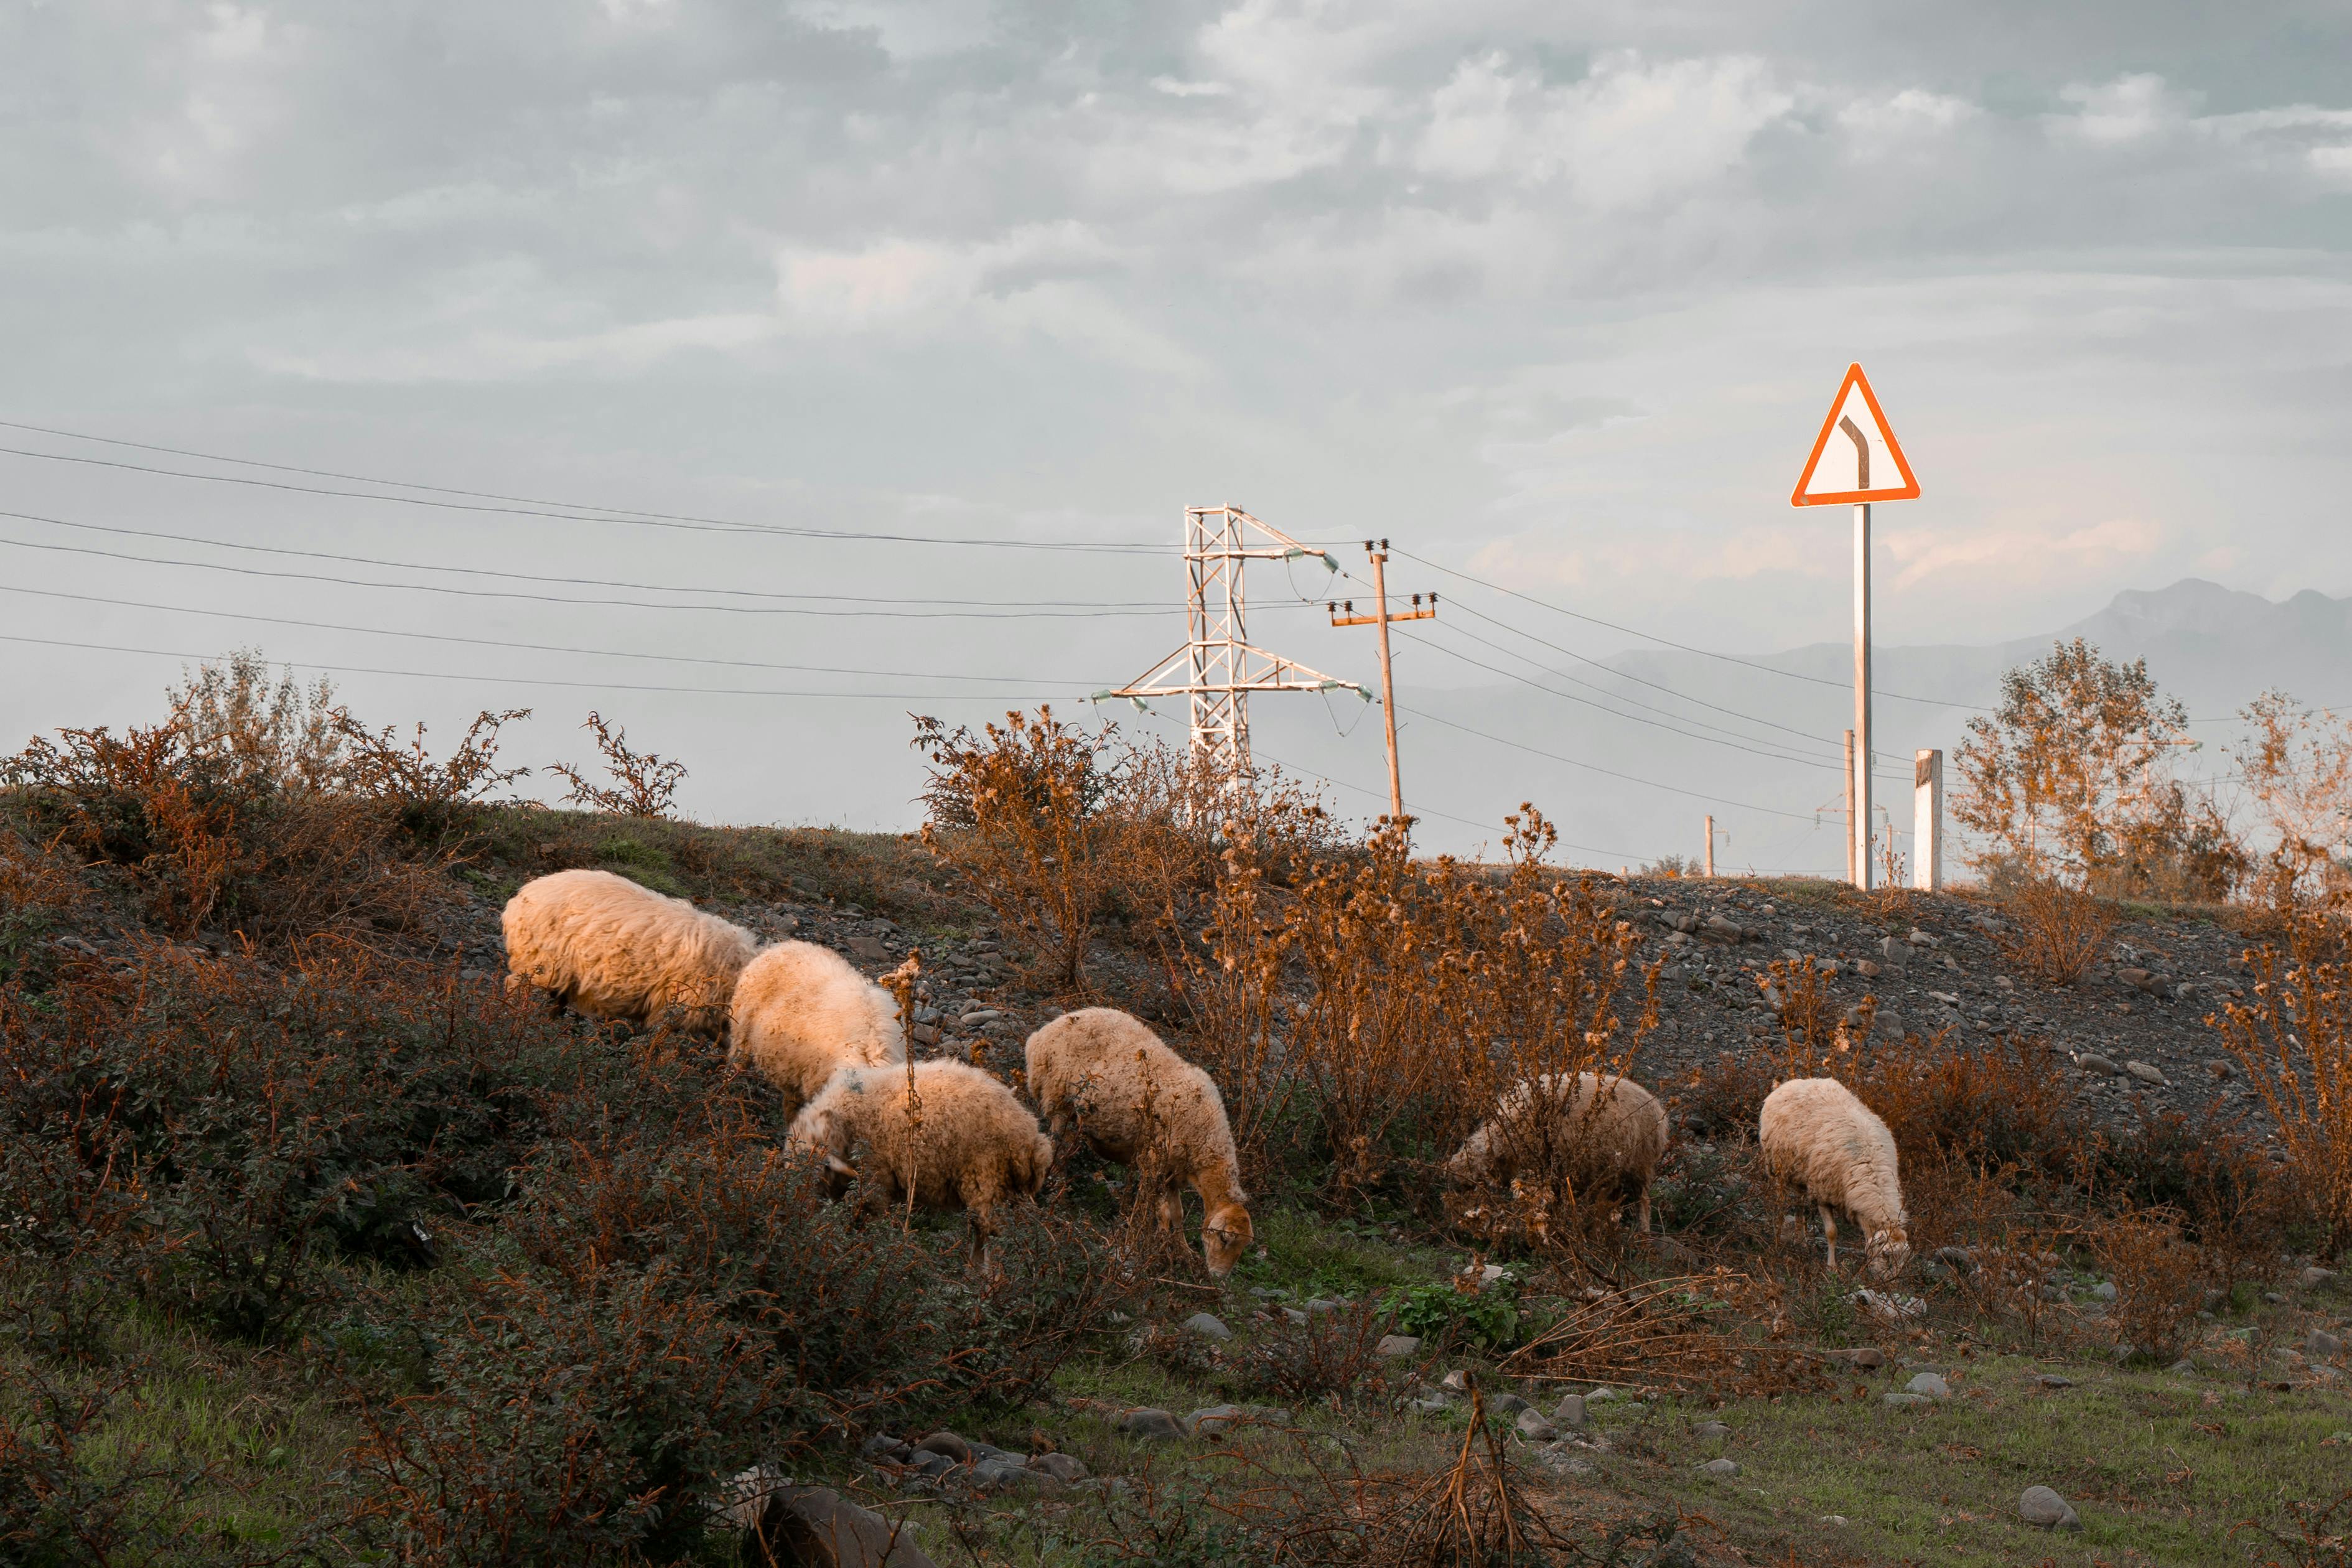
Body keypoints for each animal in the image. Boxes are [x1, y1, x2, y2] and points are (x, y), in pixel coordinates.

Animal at [787, 1059, 1053, 1245]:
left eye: (820, 1172)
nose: (803, 1215)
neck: (843, 1120)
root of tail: (1028, 1134)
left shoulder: (876, 1179)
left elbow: (874, 1216)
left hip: (985, 1178)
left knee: (993, 1235)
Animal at [1023, 1007, 1254, 1277]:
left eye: (1243, 1248)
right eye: (1224, 1238)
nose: (1219, 1277)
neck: (1206, 1143)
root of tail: (1043, 1032)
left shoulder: (1173, 1171)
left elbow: (1178, 1214)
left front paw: (1183, 1252)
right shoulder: (1152, 1160)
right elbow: (1157, 1211)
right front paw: (1143, 1244)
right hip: (1058, 1100)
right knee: (1057, 1150)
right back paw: (1059, 1198)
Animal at [1444, 1071, 1669, 1232]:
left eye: (1466, 1189)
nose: (1455, 1227)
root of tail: (1656, 1108)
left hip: (1640, 1165)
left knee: (1644, 1202)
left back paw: (1643, 1234)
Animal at [1757, 1077, 1911, 1278]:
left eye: (1904, 1260)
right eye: (1886, 1256)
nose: (1891, 1282)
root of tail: (1790, 1083)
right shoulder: (1823, 1192)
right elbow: (1832, 1232)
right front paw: (1832, 1267)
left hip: (1800, 1172)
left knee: (1799, 1207)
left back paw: (1802, 1241)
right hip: (1778, 1167)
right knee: (1781, 1205)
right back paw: (1777, 1239)